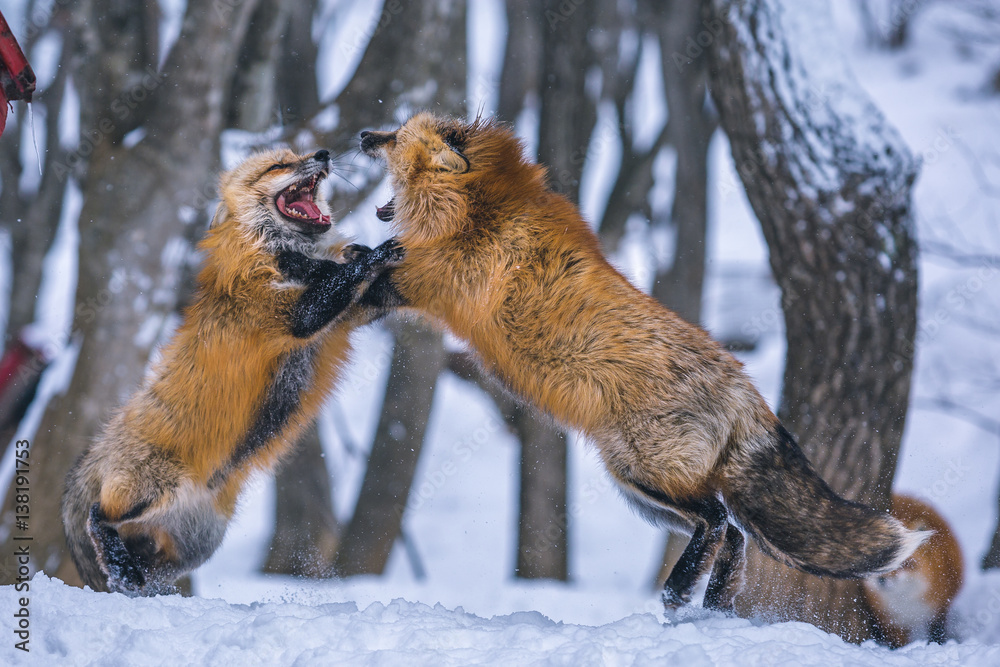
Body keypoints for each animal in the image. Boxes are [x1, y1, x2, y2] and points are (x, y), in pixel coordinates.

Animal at [62, 148, 404, 596]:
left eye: (297, 154)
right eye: (278, 165)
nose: (323, 153)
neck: (288, 257)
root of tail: (98, 446)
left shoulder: (356, 310)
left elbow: (367, 280)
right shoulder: (289, 316)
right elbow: (342, 278)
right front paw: (378, 251)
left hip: (197, 546)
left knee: (148, 568)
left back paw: (127, 574)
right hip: (151, 489)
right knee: (97, 516)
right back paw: (116, 559)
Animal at [357, 112, 928, 612]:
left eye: (395, 136)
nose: (363, 134)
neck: (474, 213)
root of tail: (746, 388)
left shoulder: (419, 284)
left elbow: (359, 286)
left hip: (647, 471)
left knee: (718, 521)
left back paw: (680, 594)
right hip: (638, 488)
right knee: (734, 533)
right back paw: (713, 602)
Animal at [863, 494, 963, 647]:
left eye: (903, 563)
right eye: (880, 562)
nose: (881, 579)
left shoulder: (939, 609)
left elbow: (937, 632)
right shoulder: (889, 621)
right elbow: (899, 642)